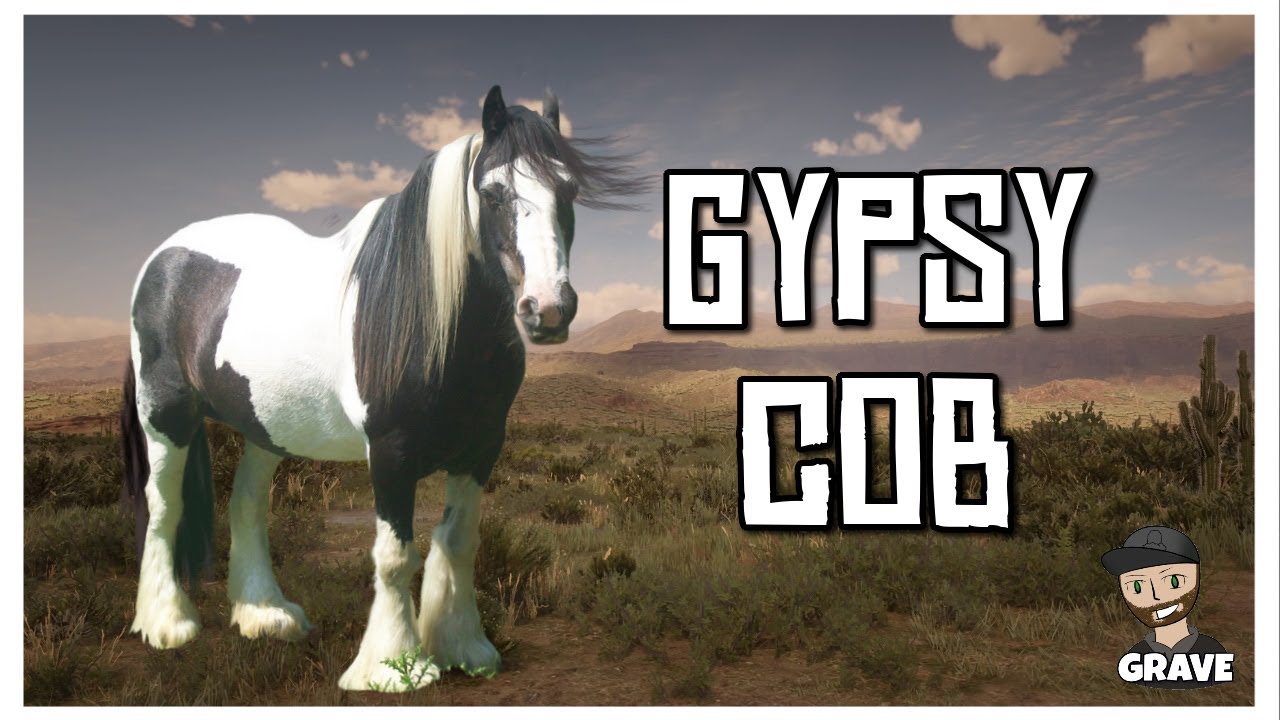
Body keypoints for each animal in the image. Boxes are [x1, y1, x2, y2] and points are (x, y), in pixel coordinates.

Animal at [119, 85, 640, 692]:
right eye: (492, 192)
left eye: (569, 188)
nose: (548, 309)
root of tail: (166, 256)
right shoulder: (391, 454)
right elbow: (394, 556)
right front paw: (394, 667)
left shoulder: (481, 450)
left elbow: (459, 542)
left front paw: (464, 647)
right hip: (167, 416)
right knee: (164, 506)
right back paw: (167, 623)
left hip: (264, 426)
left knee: (246, 503)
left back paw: (265, 615)